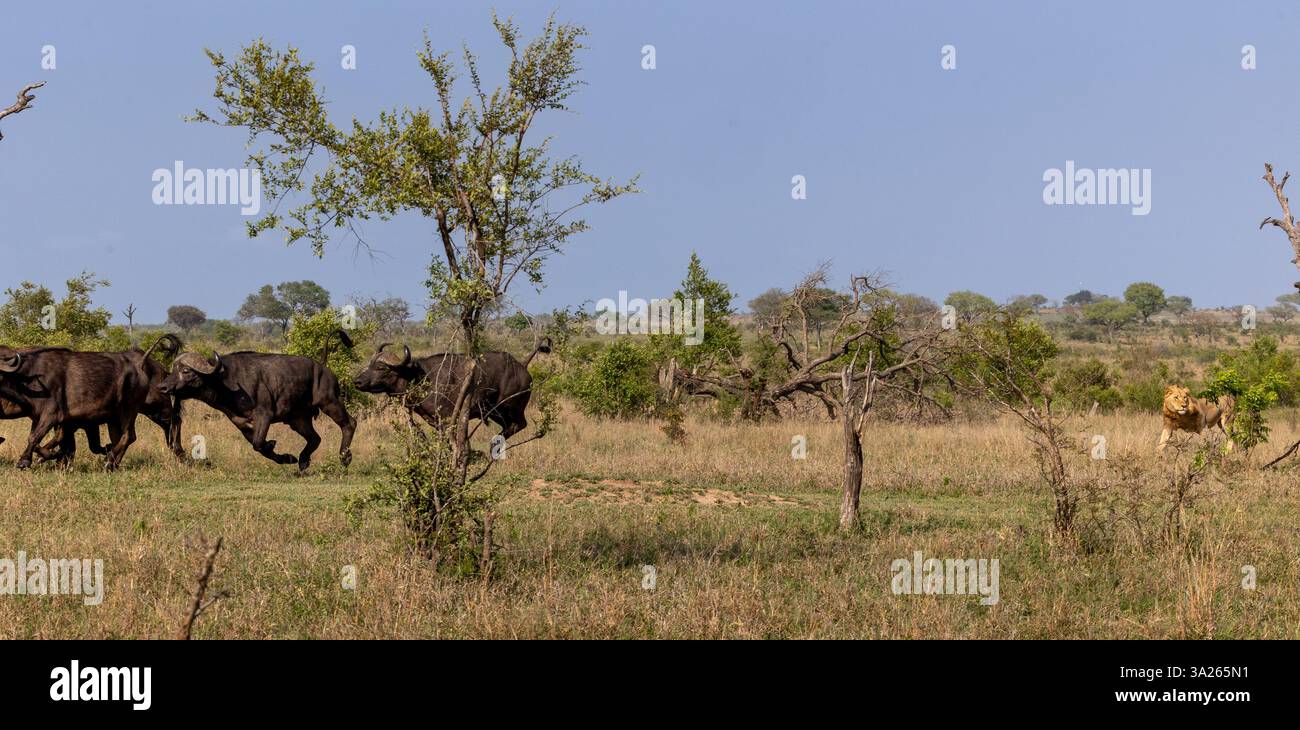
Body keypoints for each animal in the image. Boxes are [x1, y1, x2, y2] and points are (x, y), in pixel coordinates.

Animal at [157, 330, 356, 470]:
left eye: (186, 371)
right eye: (173, 369)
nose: (162, 387)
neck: (226, 382)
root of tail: (322, 367)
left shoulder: (264, 415)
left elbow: (259, 443)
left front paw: (274, 447)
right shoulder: (240, 422)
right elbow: (258, 445)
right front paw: (286, 457)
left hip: (330, 402)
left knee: (349, 423)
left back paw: (344, 458)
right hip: (297, 419)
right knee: (315, 438)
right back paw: (303, 460)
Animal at [351, 338, 550, 438]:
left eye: (381, 368)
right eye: (369, 365)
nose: (357, 382)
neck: (420, 378)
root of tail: (522, 366)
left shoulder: (448, 420)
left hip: (510, 408)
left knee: (520, 424)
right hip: (495, 413)